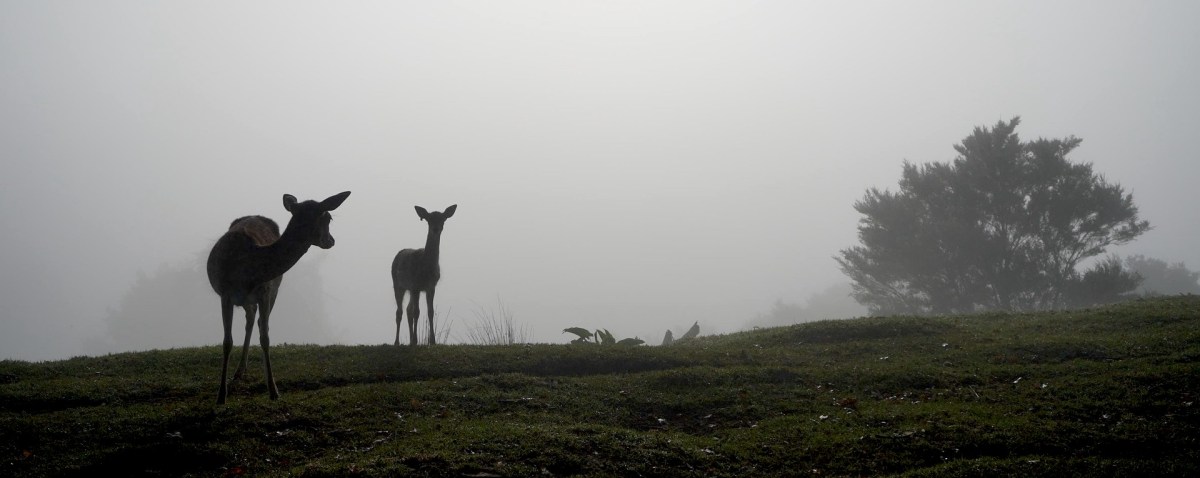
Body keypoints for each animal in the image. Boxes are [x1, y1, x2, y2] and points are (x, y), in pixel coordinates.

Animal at [206, 191, 351, 404]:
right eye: (328, 217)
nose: (331, 240)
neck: (248, 268)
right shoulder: (225, 294)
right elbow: (227, 342)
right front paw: (220, 395)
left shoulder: (266, 292)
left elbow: (265, 337)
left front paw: (274, 391)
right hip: (247, 299)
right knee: (251, 319)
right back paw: (239, 371)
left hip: (271, 291)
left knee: (255, 321)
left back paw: (243, 369)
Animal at [392, 204, 457, 346]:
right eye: (428, 219)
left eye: (443, 219)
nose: (435, 228)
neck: (426, 268)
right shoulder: (415, 285)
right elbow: (417, 312)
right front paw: (416, 341)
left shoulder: (430, 287)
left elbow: (430, 312)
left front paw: (432, 341)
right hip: (397, 284)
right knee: (399, 312)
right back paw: (397, 342)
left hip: (410, 290)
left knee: (408, 310)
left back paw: (410, 340)